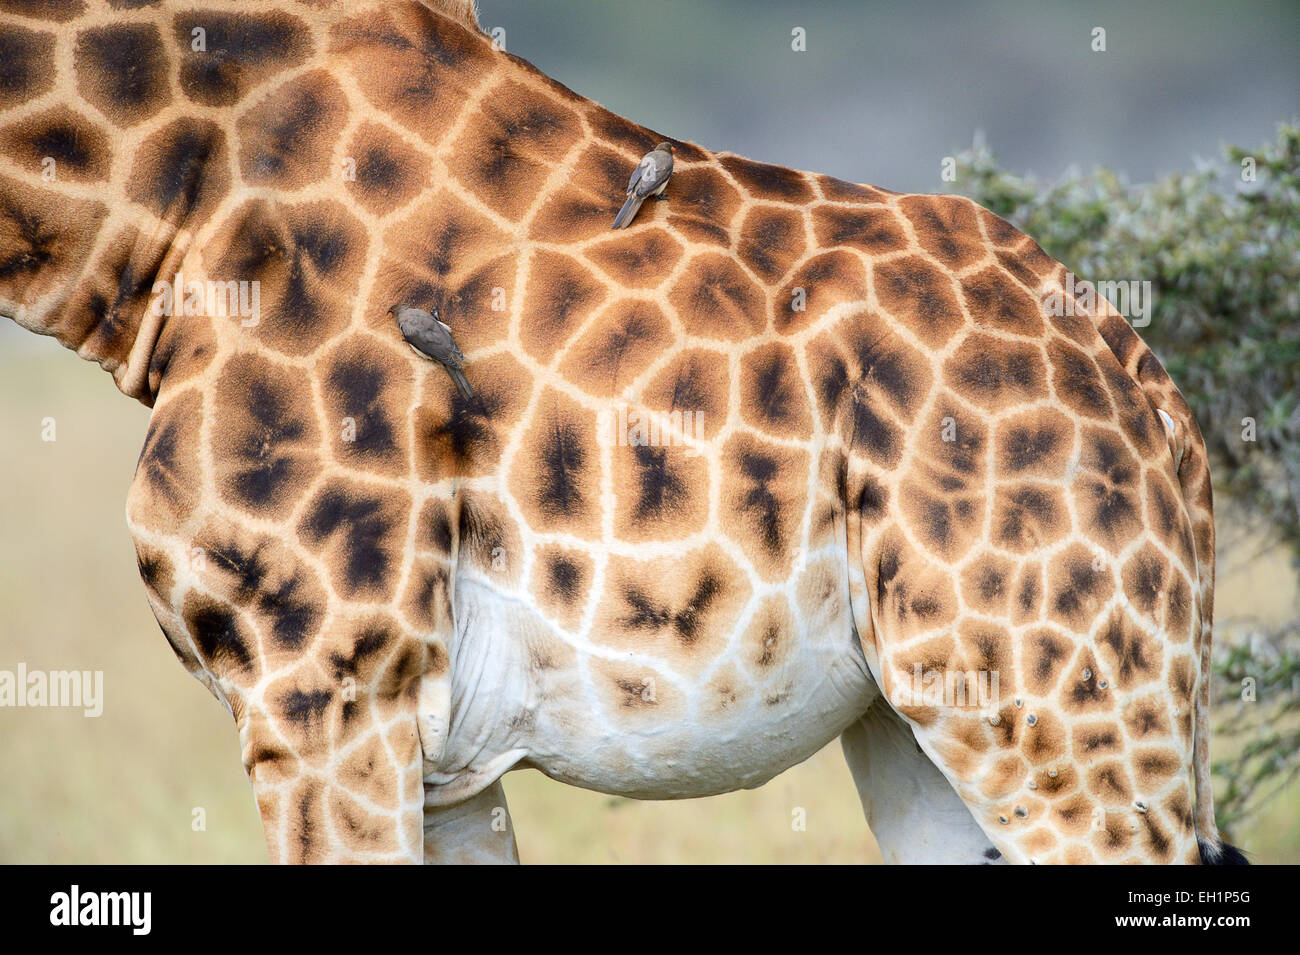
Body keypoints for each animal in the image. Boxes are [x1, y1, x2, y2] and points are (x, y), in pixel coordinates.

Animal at [0, 0, 1243, 864]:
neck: (171, 210)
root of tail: (1156, 399)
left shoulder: (323, 694)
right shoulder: (434, 756)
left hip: (1064, 707)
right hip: (938, 725)